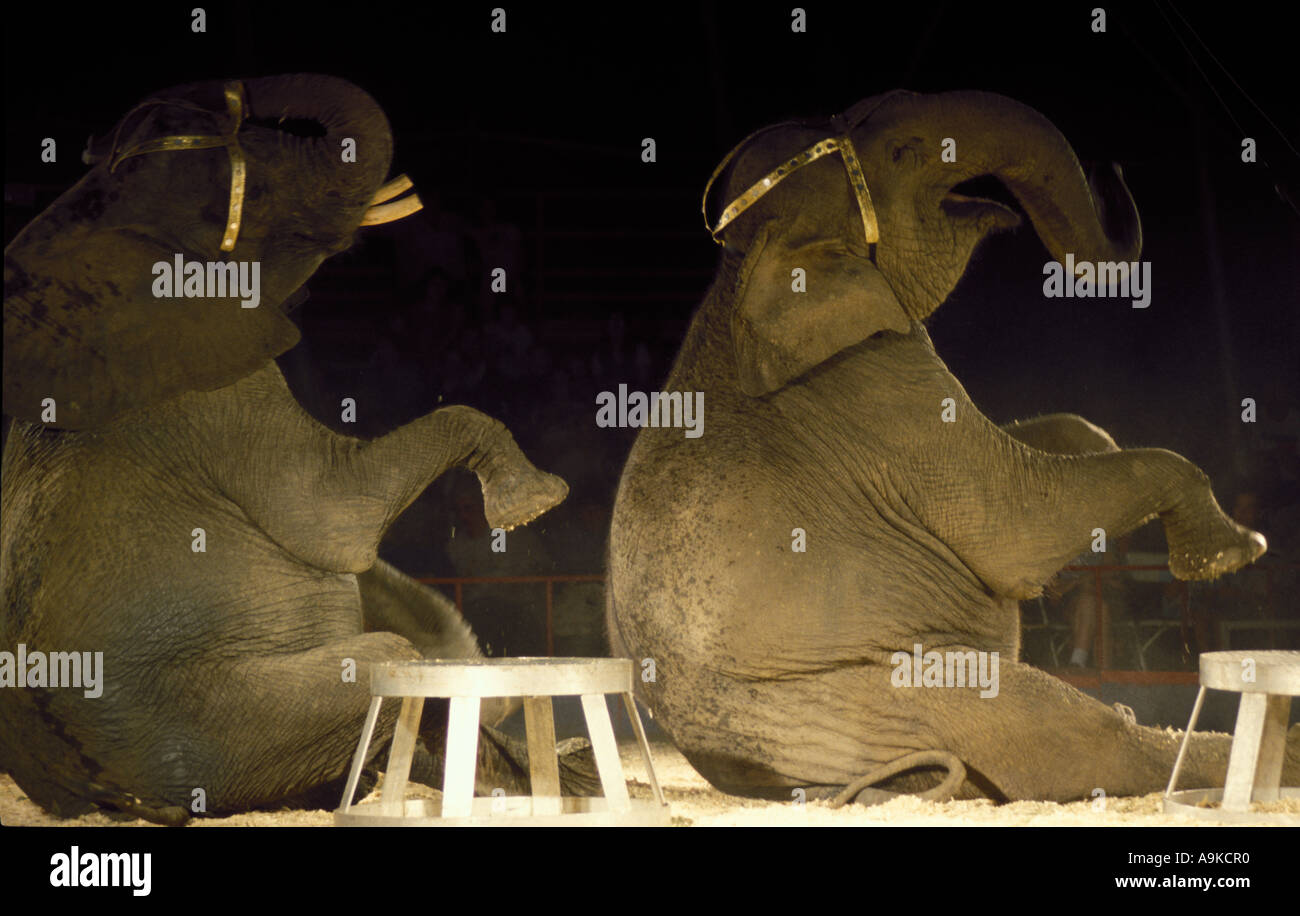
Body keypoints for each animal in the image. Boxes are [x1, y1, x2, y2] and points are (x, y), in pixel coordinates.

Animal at [1, 73, 594, 824]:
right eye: (248, 204)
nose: (230, 97)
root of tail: (104, 797)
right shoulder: (217, 396)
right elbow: (338, 517)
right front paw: (534, 505)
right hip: (218, 726)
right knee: (381, 657)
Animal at [606, 89, 1294, 804]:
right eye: (903, 153)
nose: (1113, 167)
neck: (742, 269)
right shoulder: (877, 386)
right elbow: (1013, 528)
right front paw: (1234, 554)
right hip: (886, 697)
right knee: (1073, 730)